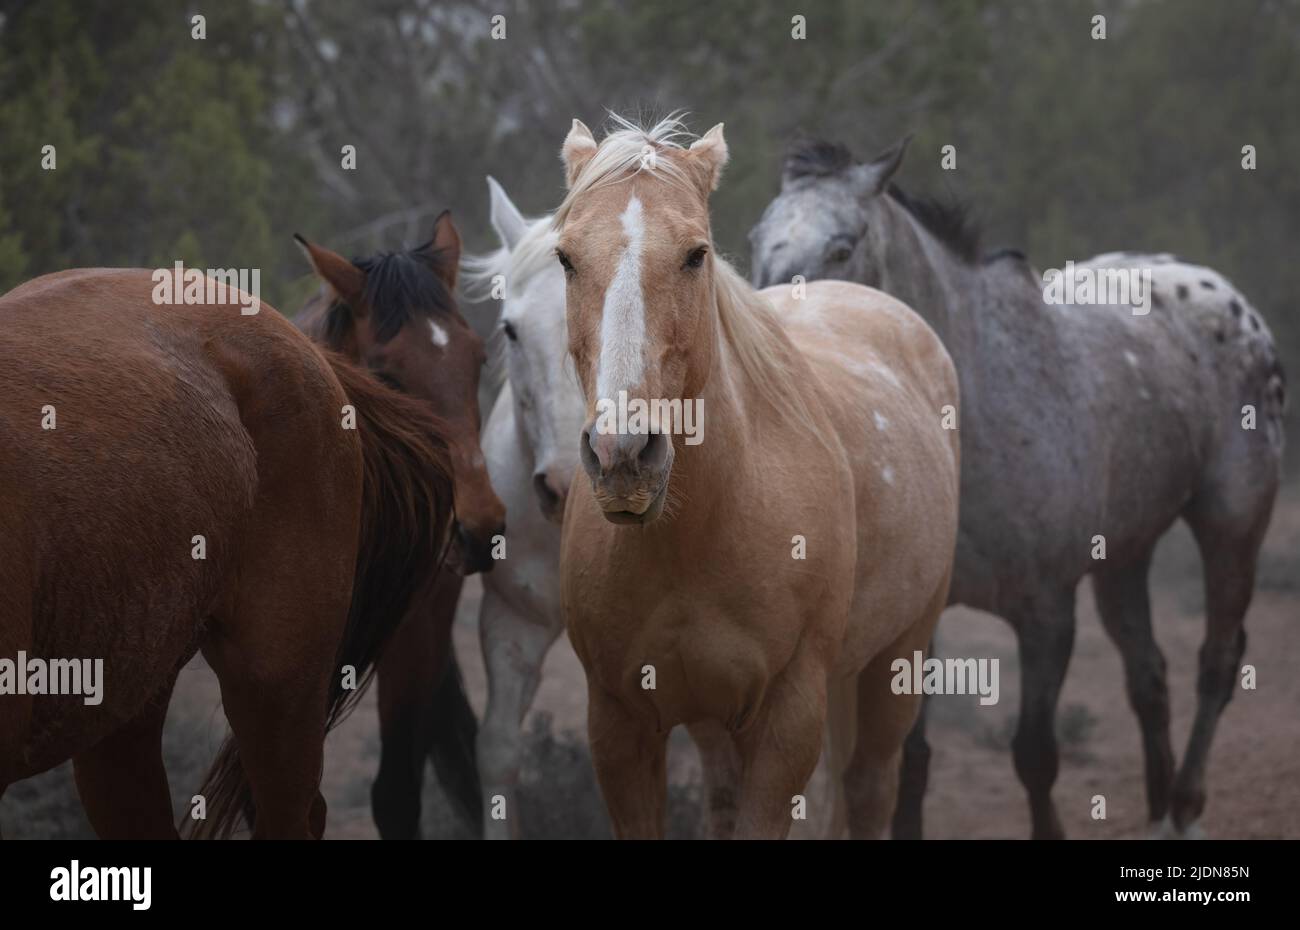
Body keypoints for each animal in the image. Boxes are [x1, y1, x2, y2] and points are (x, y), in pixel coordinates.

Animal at [554, 115, 962, 839]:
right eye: (566, 259)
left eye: (696, 254)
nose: (624, 454)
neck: (695, 533)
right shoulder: (619, 724)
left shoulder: (788, 719)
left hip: (897, 660)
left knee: (869, 786)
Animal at [748, 138, 1287, 839]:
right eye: (758, 239)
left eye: (842, 247)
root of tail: (1232, 304)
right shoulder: (921, 618)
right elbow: (911, 760)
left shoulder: (1046, 615)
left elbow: (1035, 754)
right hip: (1124, 559)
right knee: (1149, 676)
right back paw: (1158, 807)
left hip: (1232, 525)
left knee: (1216, 662)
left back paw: (1186, 806)